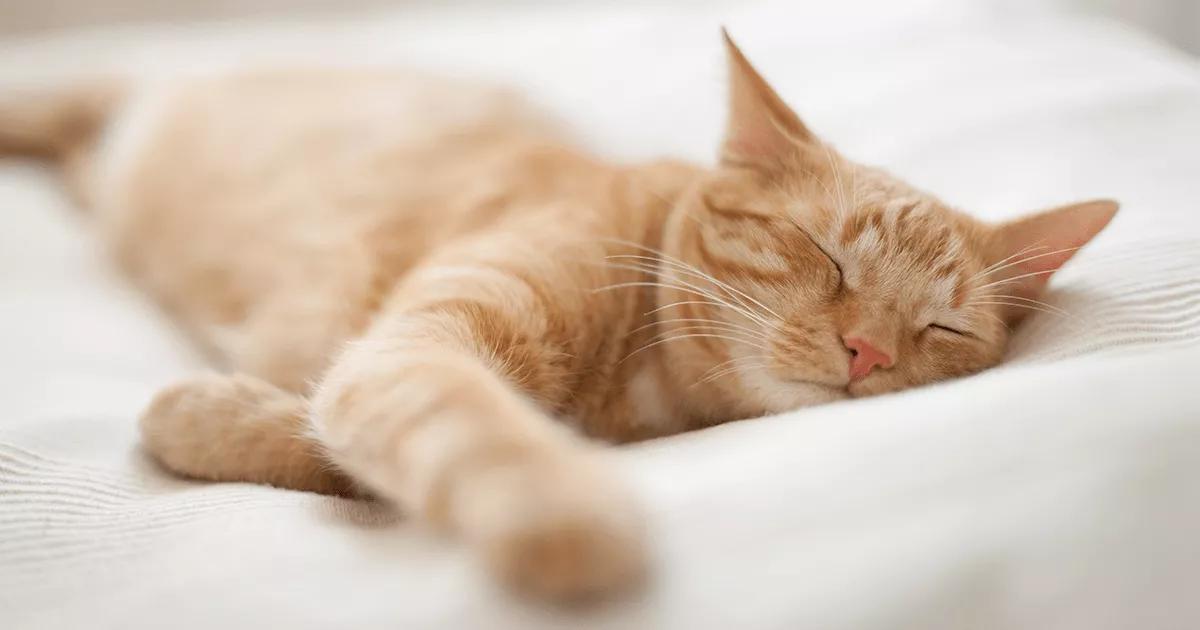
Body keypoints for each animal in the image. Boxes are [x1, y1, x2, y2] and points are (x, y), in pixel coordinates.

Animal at [0, 33, 1113, 600]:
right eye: (828, 255)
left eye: (942, 330)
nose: (869, 351)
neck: (644, 393)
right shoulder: (416, 347)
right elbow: (471, 423)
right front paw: (561, 513)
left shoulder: (374, 367)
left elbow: (329, 432)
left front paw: (202, 415)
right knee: (81, 93)